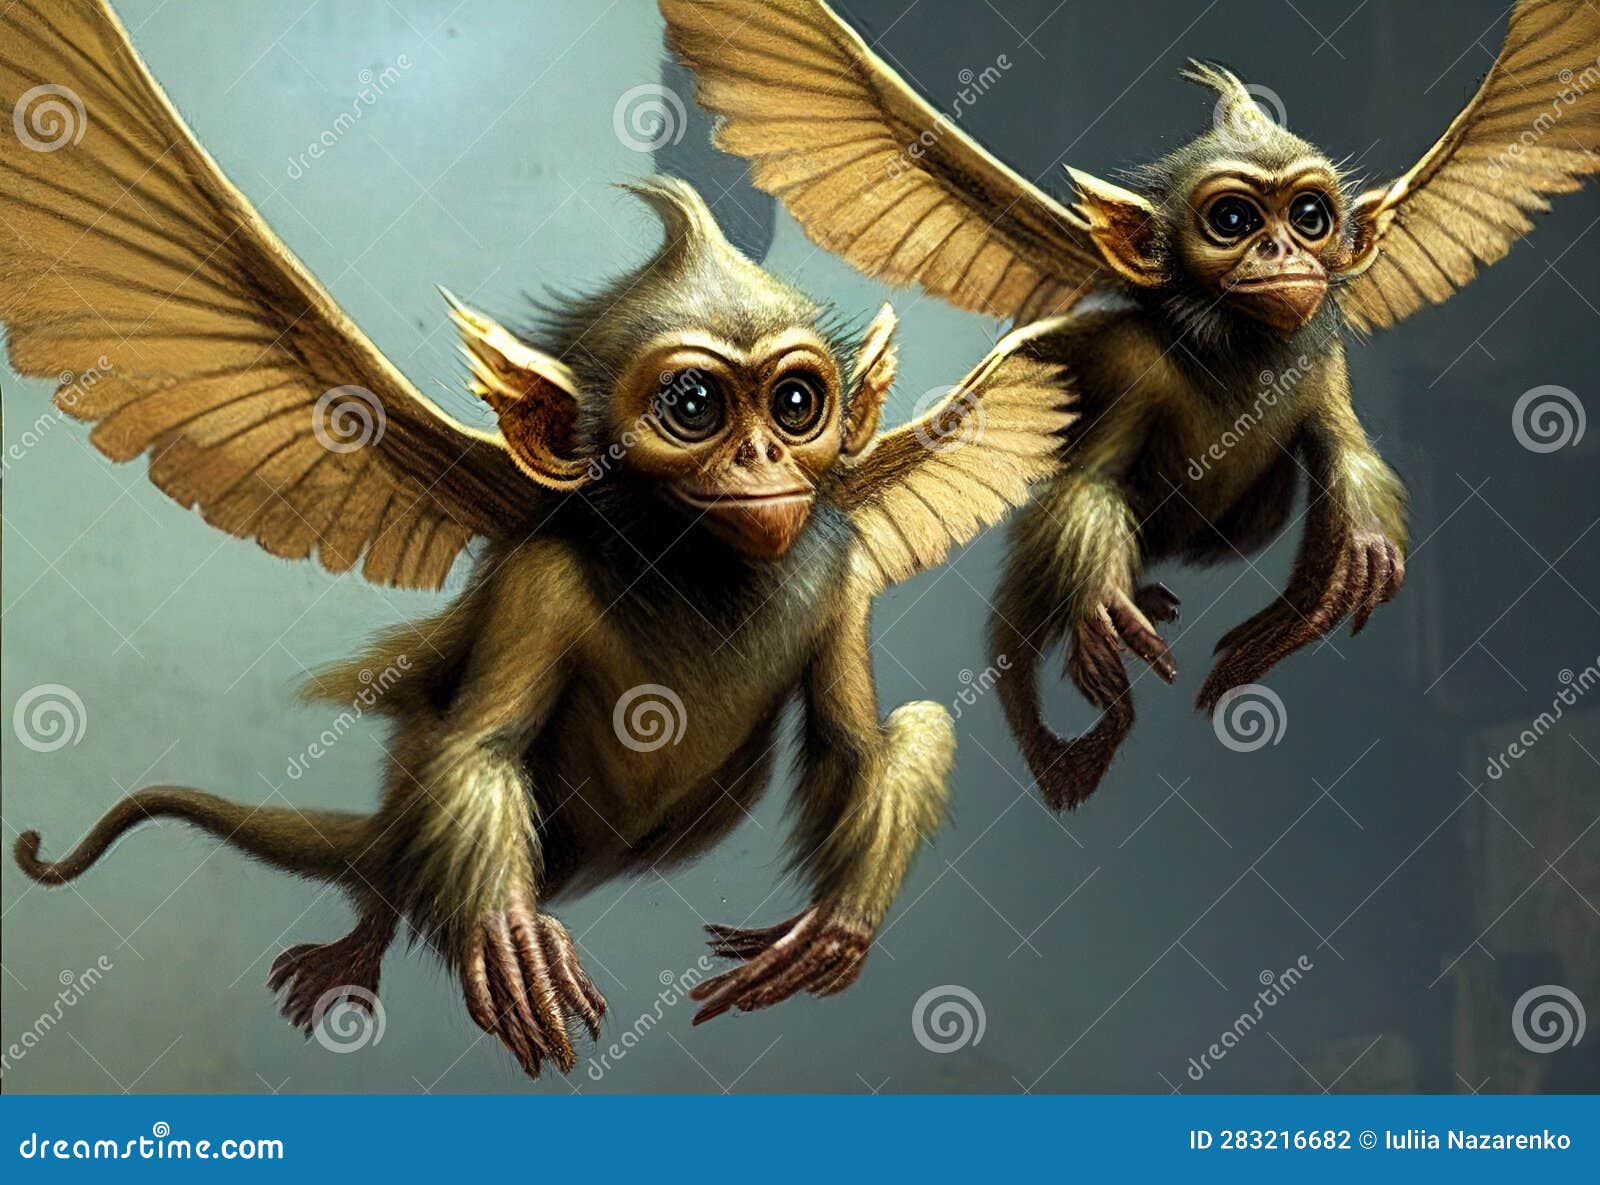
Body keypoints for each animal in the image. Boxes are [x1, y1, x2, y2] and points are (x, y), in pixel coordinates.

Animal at [1, 0, 1075, 1079]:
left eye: (797, 403)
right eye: (695, 406)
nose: (766, 456)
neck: (691, 562)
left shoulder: (834, 558)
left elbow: (867, 743)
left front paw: (839, 926)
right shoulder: (539, 577)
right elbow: (480, 747)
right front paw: (511, 939)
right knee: (423, 790)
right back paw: (378, 925)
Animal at [662, 0, 1600, 807]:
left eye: (1310, 216)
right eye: (1233, 220)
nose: (1283, 253)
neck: (1233, 342)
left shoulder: (1318, 358)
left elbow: (1343, 450)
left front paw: (1348, 564)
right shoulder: (1133, 370)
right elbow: (1090, 487)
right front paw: (1104, 619)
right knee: (1025, 607)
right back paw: (1073, 731)